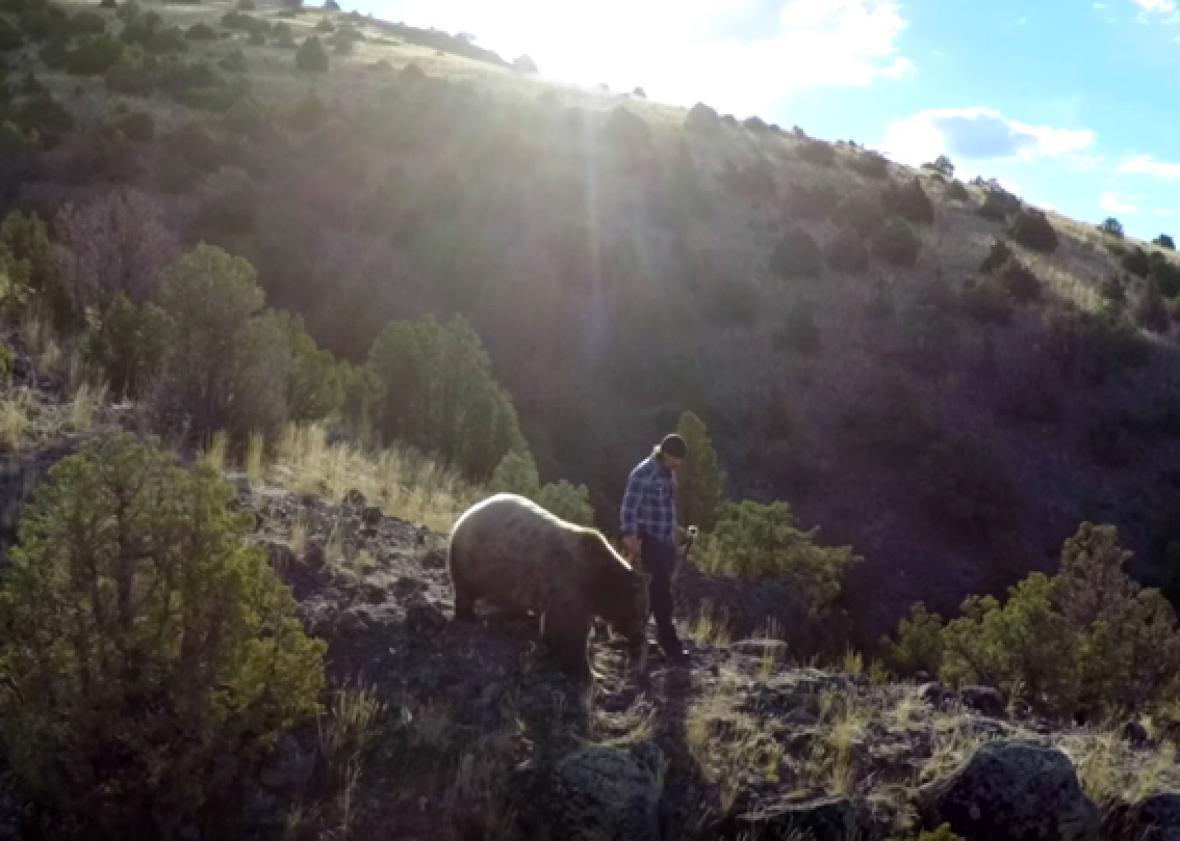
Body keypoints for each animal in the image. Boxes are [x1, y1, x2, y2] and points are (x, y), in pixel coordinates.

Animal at [447, 493, 649, 681]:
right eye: (642, 614)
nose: (638, 638)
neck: (600, 583)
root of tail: (466, 514)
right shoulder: (571, 587)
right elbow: (568, 632)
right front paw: (589, 672)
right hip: (473, 559)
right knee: (465, 591)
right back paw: (469, 616)